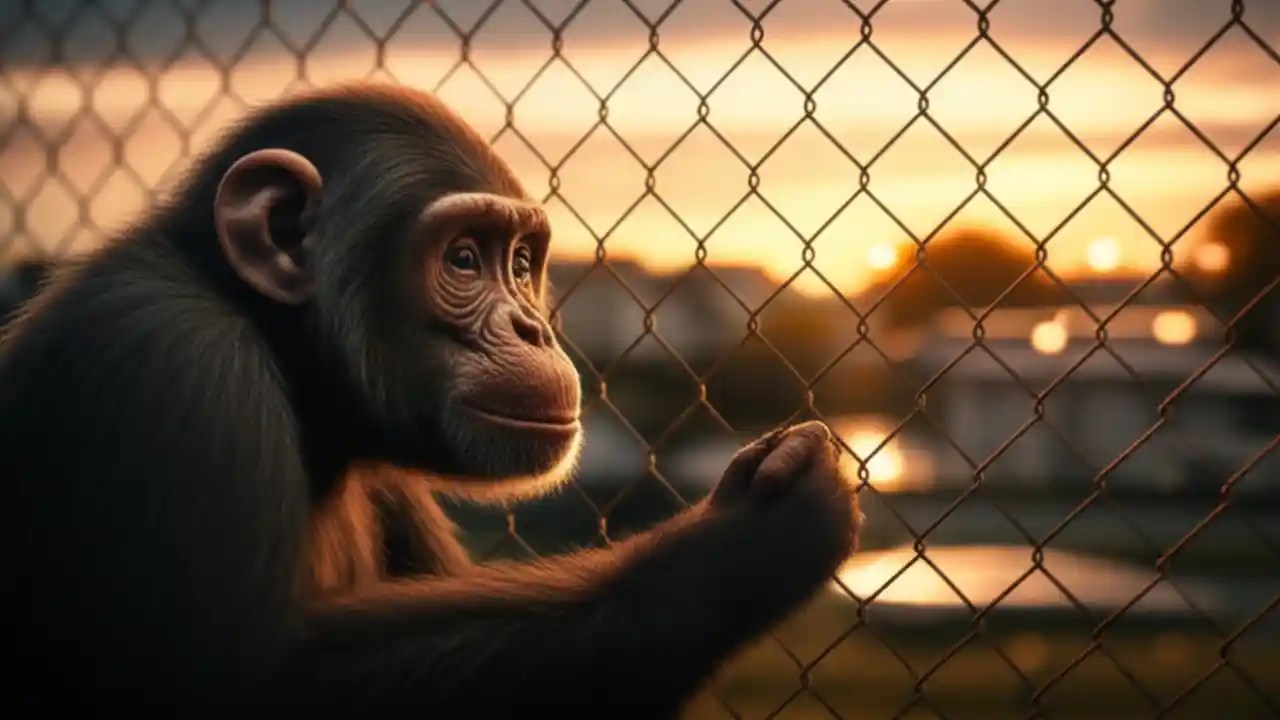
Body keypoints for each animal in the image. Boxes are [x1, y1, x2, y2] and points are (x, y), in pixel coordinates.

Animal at [0, 83, 861, 717]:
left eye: (521, 263)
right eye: (463, 259)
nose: (531, 327)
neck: (289, 358)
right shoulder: (167, 359)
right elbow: (235, 684)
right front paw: (743, 543)